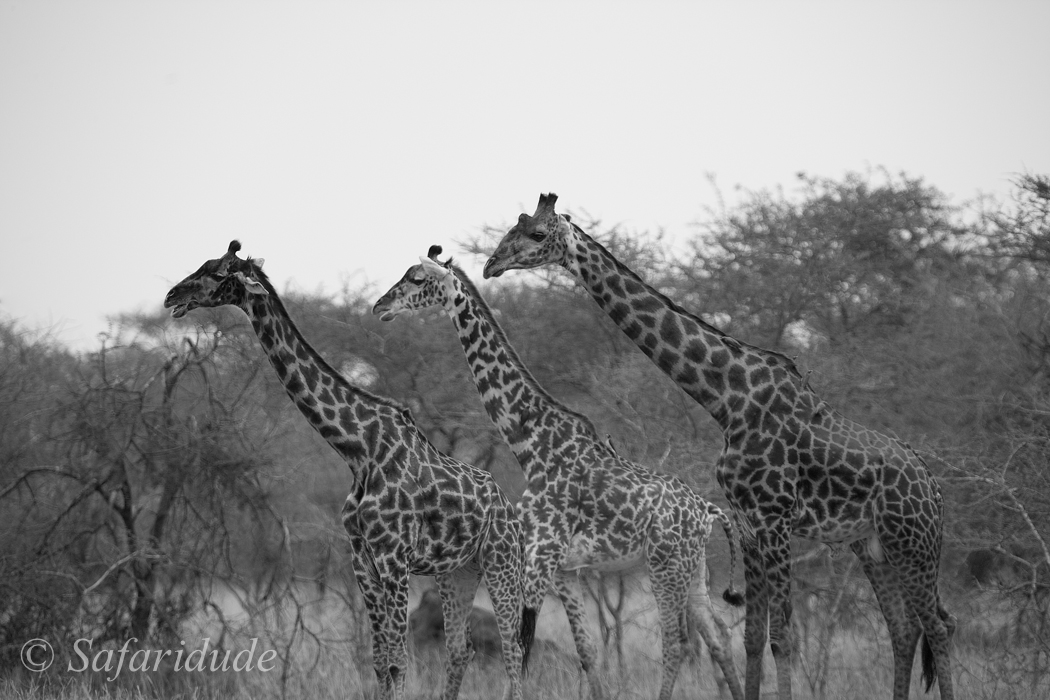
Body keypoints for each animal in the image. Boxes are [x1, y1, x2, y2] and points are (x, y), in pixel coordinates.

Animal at [163, 241, 535, 700]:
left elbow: (398, 661)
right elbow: (380, 662)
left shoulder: (394, 559)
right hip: (457, 572)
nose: (172, 296)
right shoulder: (362, 558)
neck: (358, 450)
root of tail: (509, 509)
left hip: (502, 562)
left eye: (217, 272)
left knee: (512, 649)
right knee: (460, 648)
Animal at [373, 246, 746, 700]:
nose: (380, 307)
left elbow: (523, 647)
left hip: (665, 564)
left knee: (677, 641)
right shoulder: (565, 570)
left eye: (417, 279)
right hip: (696, 570)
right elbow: (586, 650)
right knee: (718, 637)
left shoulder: (537, 560)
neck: (529, 445)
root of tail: (709, 511)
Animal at [483, 194, 956, 700]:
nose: (491, 264)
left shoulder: (775, 518)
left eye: (536, 233)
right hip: (872, 546)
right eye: (515, 225)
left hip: (912, 542)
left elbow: (782, 636)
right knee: (906, 628)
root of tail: (935, 489)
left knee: (939, 625)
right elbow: (751, 638)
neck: (726, 398)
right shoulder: (748, 522)